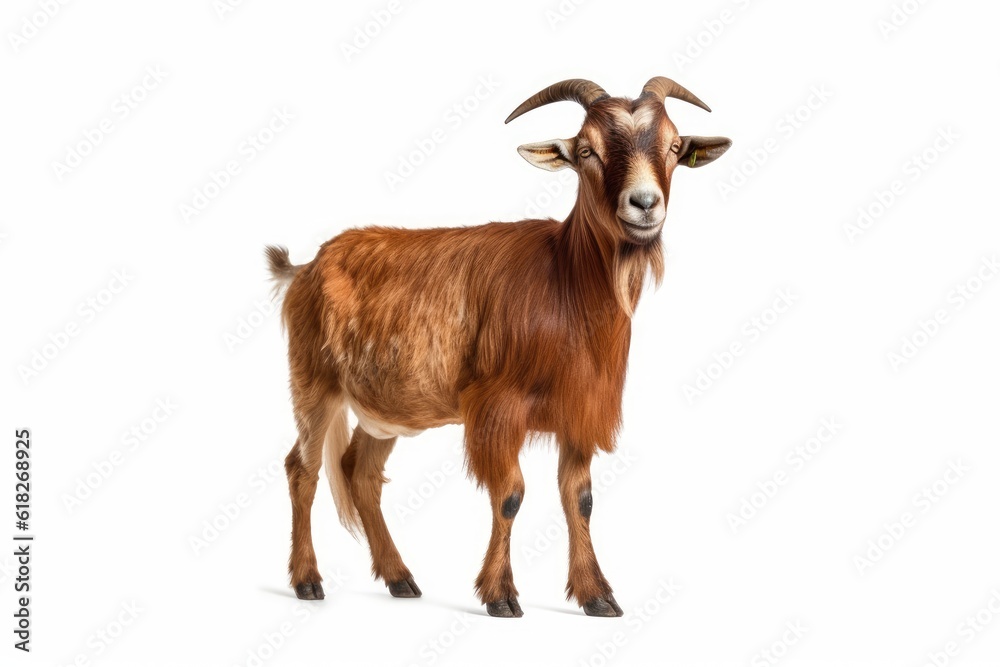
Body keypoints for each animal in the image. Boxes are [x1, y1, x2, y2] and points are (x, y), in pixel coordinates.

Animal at [267, 77, 731, 617]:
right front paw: (501, 595)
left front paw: (597, 595)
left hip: (384, 410)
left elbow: (580, 497)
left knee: (360, 473)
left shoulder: (579, 409)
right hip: (312, 381)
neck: (566, 282)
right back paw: (308, 581)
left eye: (674, 146)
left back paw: (400, 578)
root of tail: (305, 268)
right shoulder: (499, 406)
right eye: (587, 150)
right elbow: (510, 494)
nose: (644, 203)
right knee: (303, 469)